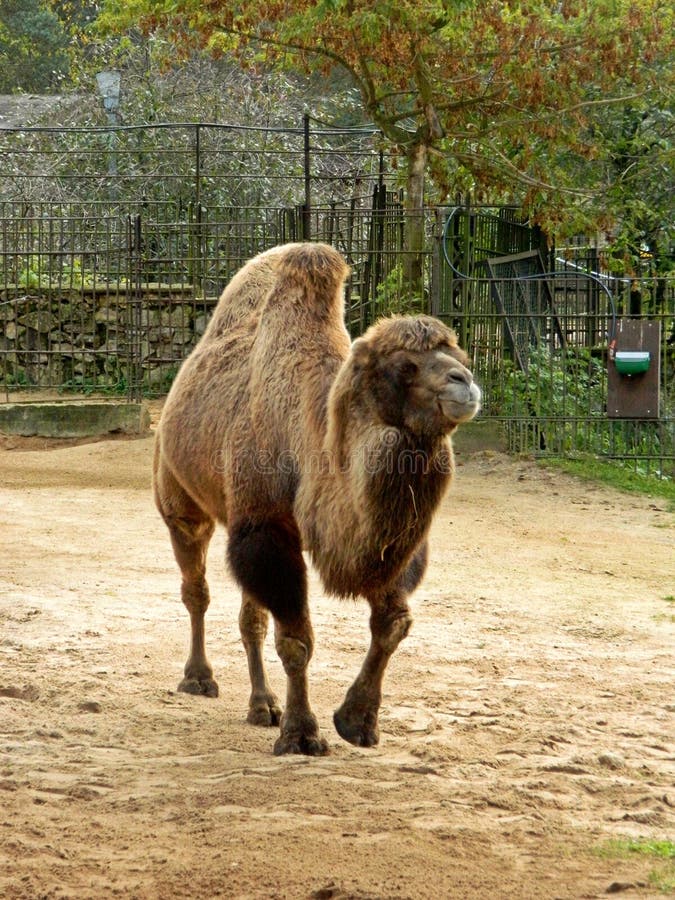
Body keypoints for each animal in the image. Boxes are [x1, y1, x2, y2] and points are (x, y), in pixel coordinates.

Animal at [154, 242, 481, 756]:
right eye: (403, 367)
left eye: (459, 354)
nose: (463, 382)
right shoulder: (268, 529)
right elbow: (297, 640)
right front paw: (302, 734)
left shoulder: (389, 545)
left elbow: (393, 622)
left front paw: (357, 721)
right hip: (180, 500)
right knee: (197, 589)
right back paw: (199, 679)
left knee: (250, 617)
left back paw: (262, 705)